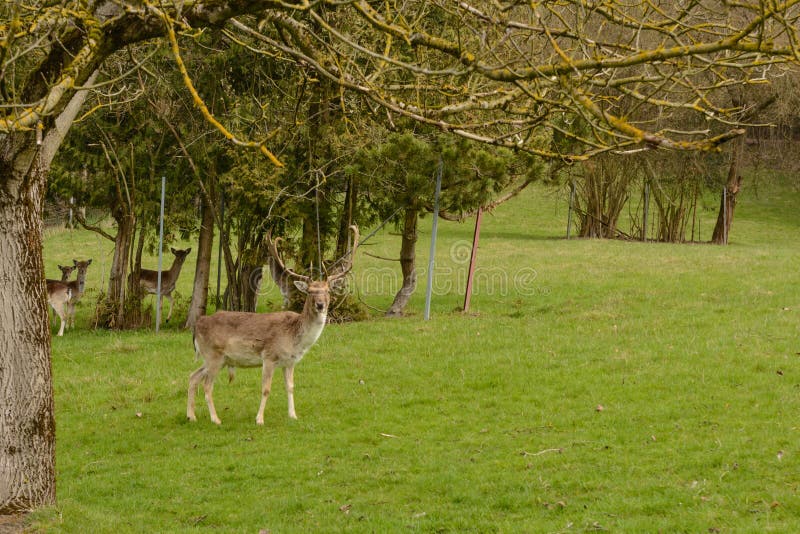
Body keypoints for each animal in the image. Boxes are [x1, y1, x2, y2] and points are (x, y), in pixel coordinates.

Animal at [187, 226, 359, 425]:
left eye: (328, 291)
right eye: (310, 292)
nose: (320, 305)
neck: (295, 339)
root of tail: (196, 326)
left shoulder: (290, 362)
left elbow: (290, 387)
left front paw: (293, 415)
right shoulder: (269, 356)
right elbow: (266, 389)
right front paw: (259, 419)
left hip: (215, 359)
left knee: (193, 376)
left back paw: (191, 416)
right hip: (213, 355)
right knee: (207, 385)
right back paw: (215, 419)